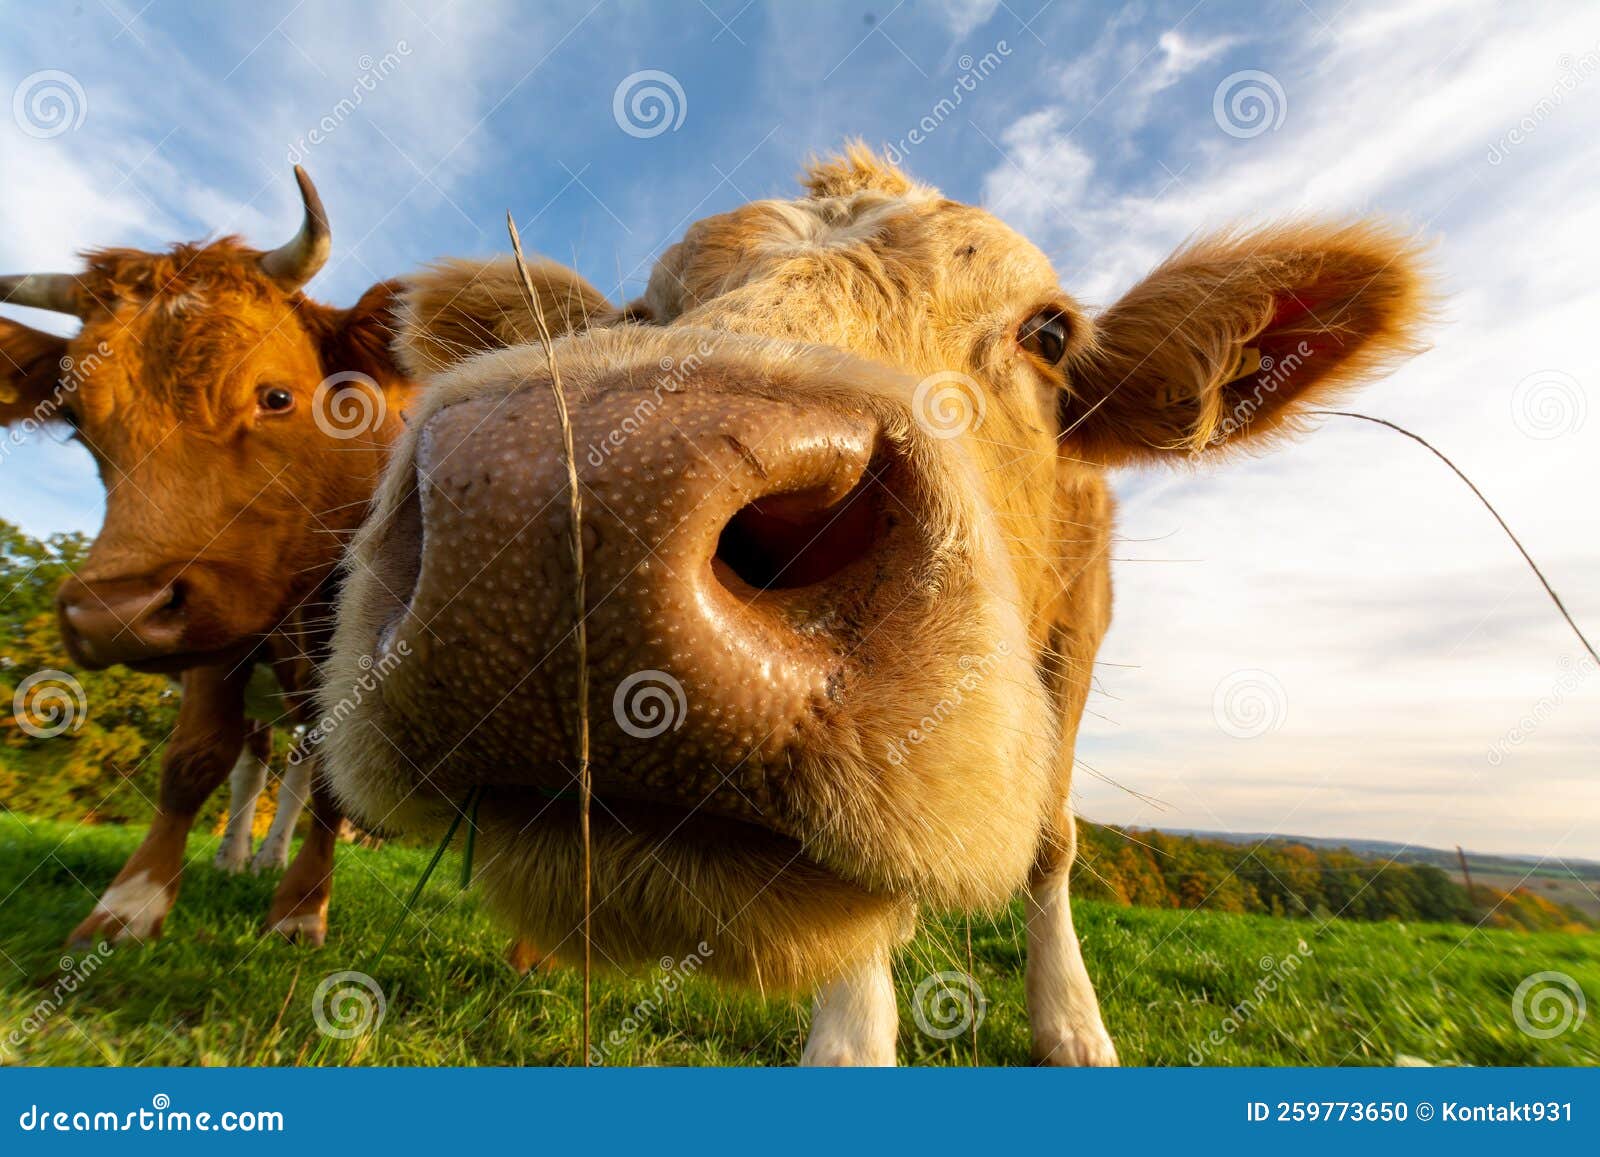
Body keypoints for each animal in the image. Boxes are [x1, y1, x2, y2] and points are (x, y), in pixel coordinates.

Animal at [0, 169, 606, 948]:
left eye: (276, 395)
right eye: (76, 421)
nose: (111, 614)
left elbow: (327, 787)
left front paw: (298, 908)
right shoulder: (216, 626)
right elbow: (193, 760)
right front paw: (129, 904)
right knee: (255, 766)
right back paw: (237, 856)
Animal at [319, 146, 1430, 1064]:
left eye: (1048, 333)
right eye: (640, 312)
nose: (578, 500)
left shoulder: (1081, 632)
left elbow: (1055, 841)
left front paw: (1072, 1023)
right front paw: (853, 1037)